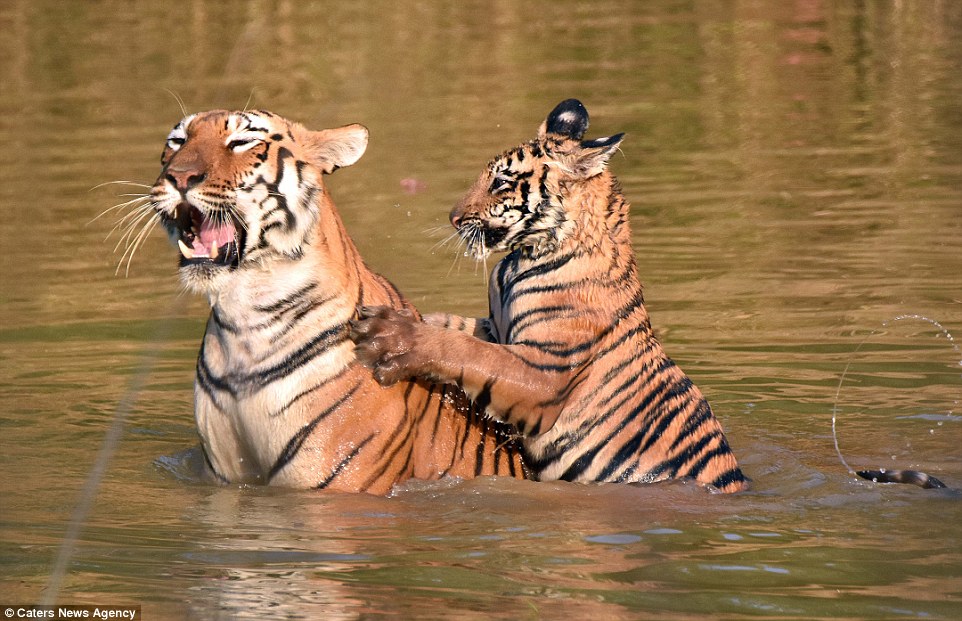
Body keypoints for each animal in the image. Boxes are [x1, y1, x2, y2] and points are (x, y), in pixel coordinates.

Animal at [350, 99, 749, 493]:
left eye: (500, 182)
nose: (453, 218)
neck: (520, 259)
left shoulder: (545, 371)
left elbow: (468, 351)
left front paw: (392, 337)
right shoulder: (495, 327)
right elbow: (453, 325)